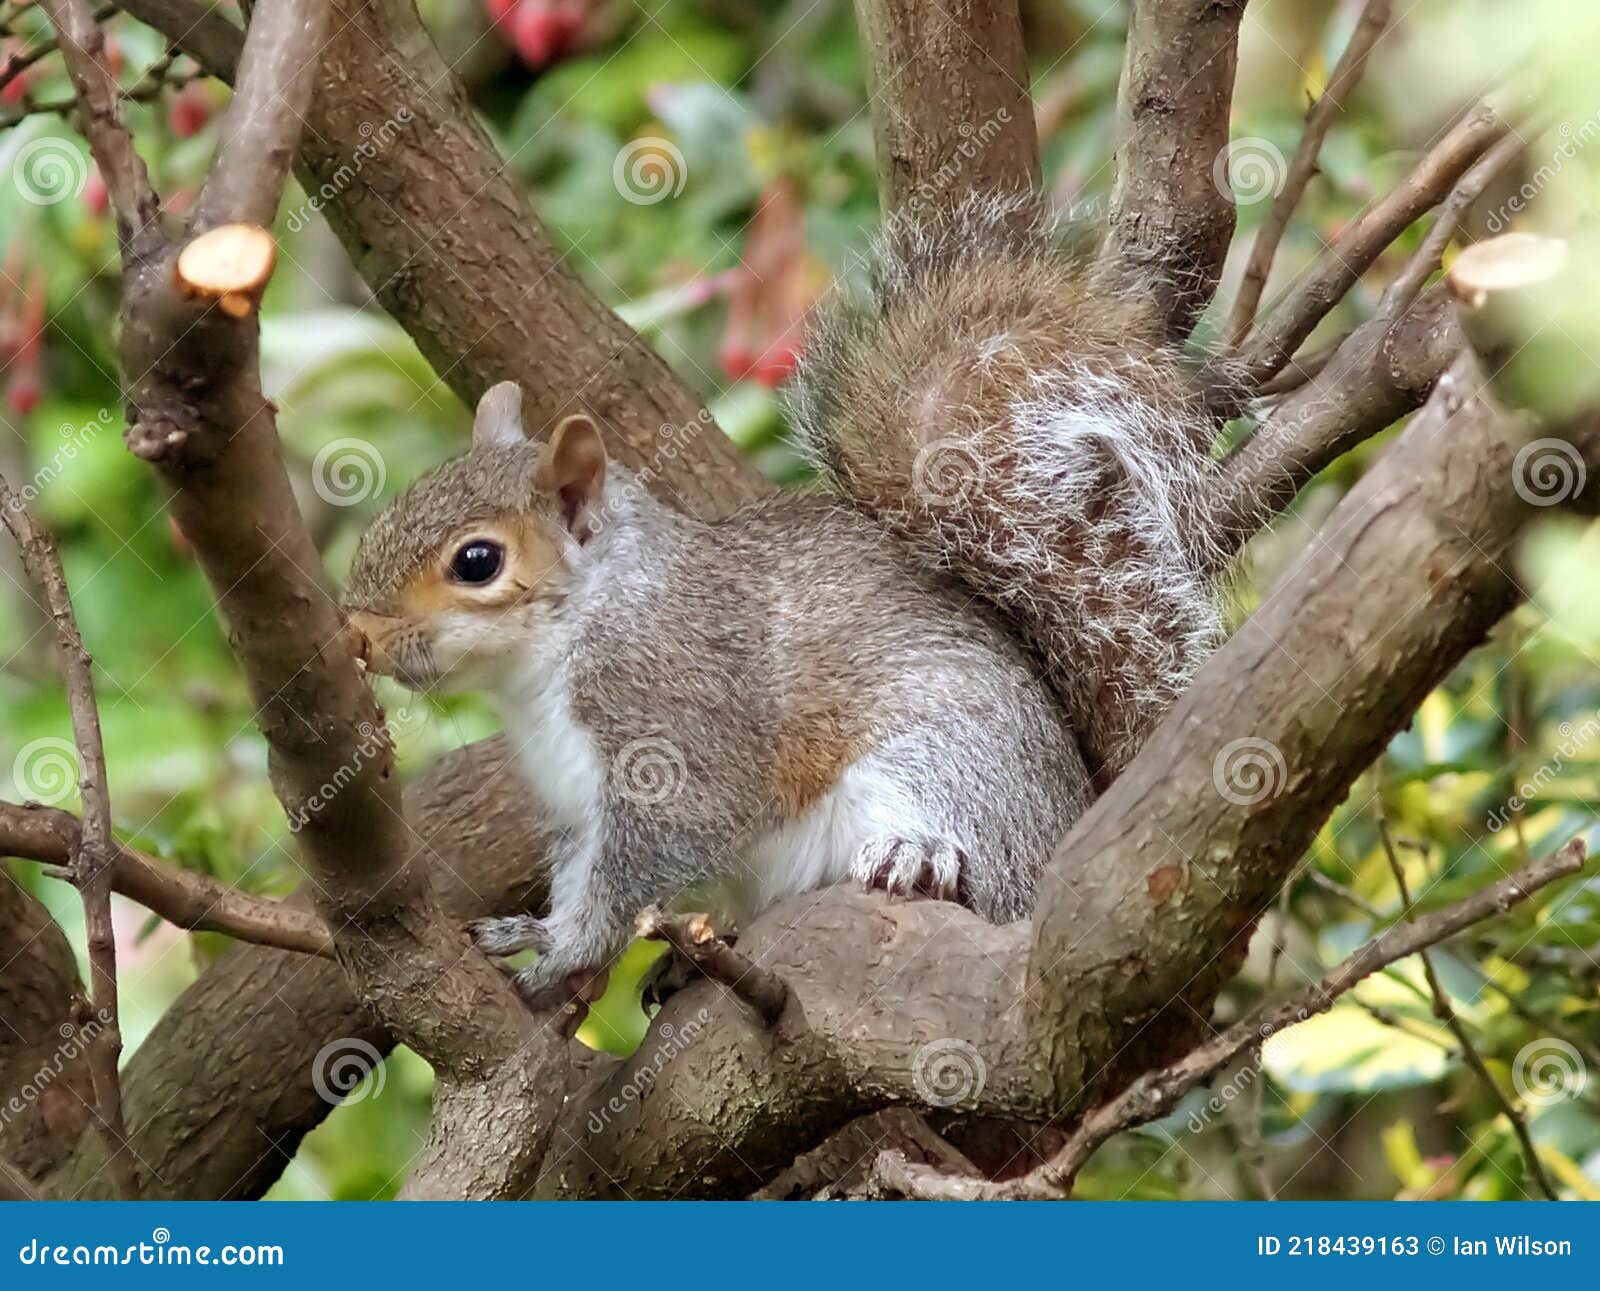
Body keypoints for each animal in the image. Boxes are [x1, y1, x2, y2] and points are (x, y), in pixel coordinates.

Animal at [342, 195, 1220, 1009]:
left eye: (477, 561)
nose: (360, 634)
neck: (568, 639)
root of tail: (1074, 819)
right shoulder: (574, 808)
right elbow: (581, 870)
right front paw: (553, 933)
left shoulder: (676, 728)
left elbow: (647, 861)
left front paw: (562, 947)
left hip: (952, 768)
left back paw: (920, 860)